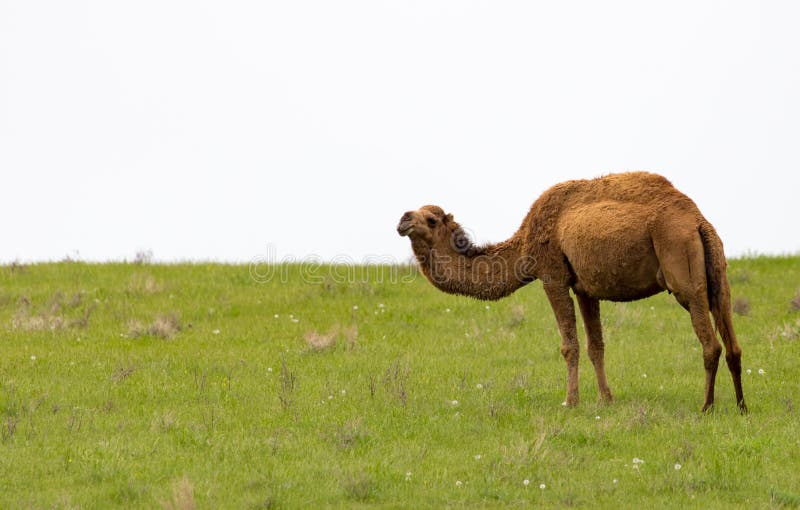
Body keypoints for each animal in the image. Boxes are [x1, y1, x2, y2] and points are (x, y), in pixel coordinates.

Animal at [397, 171, 746, 412]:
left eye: (431, 218)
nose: (402, 219)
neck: (525, 243)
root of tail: (698, 221)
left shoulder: (552, 275)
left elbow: (570, 345)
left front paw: (571, 401)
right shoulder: (585, 288)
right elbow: (596, 346)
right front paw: (606, 400)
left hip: (680, 264)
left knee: (711, 344)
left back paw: (706, 407)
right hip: (717, 271)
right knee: (732, 342)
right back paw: (742, 407)